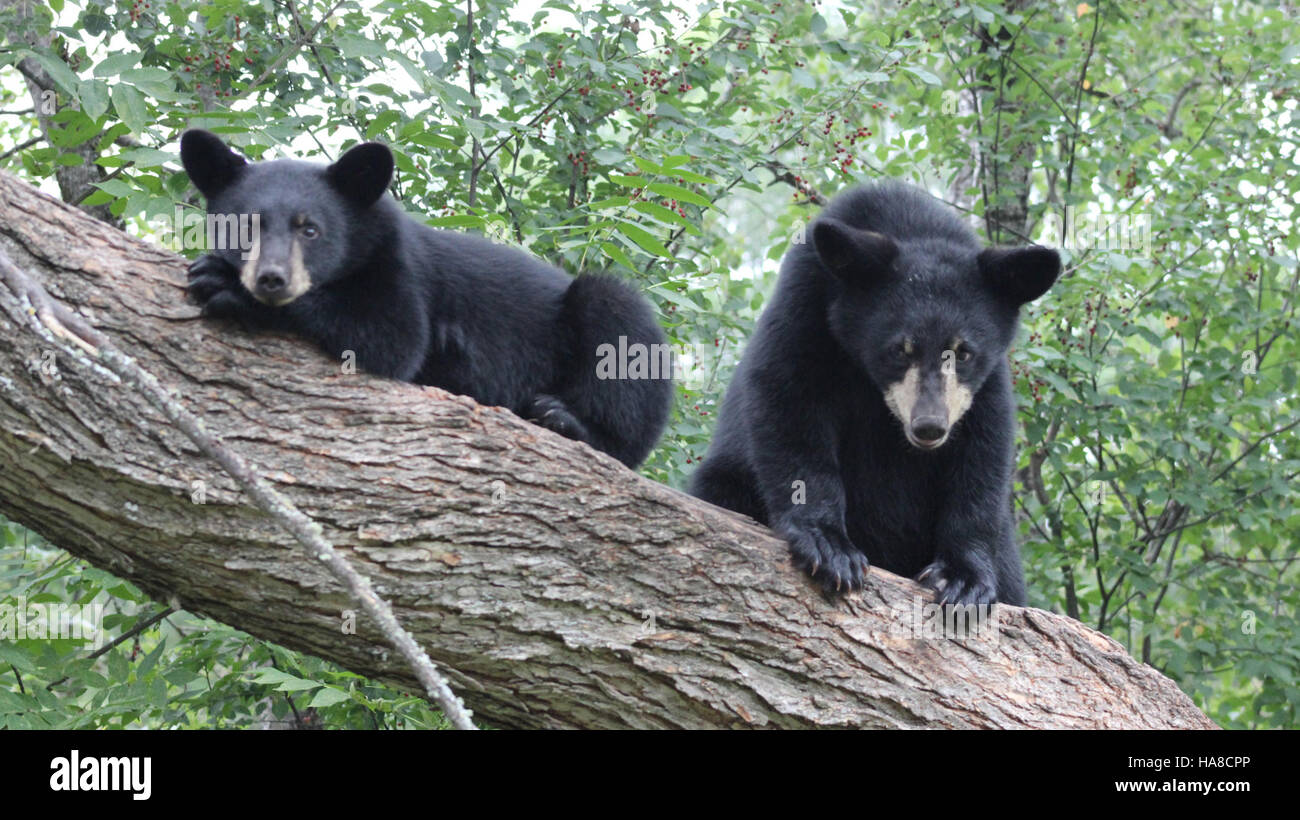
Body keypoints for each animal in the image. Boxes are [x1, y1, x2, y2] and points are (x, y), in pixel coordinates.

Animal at [179, 129, 672, 468]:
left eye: (311, 229)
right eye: (246, 225)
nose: (271, 279)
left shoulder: (401, 269)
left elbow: (392, 337)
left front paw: (224, 281)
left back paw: (565, 419)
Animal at [689, 181, 1060, 606]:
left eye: (964, 351)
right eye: (900, 349)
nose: (929, 426)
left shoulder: (984, 382)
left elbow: (984, 447)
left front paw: (962, 577)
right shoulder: (806, 305)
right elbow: (788, 400)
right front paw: (829, 547)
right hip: (727, 478)